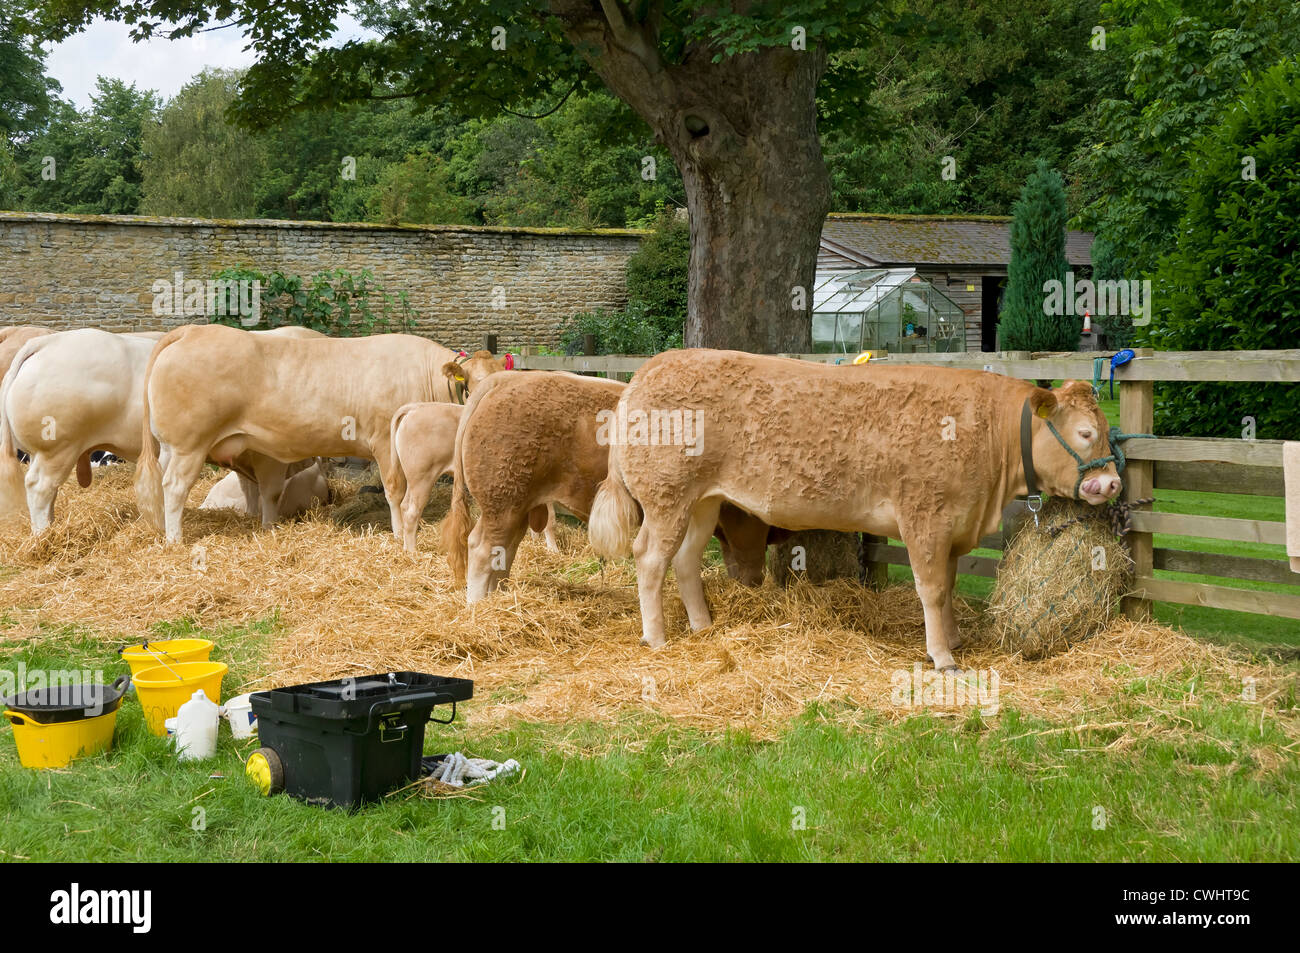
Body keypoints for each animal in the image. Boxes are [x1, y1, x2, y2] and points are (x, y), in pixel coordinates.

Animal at [135, 325, 505, 543]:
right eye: (472, 386)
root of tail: (191, 330)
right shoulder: (386, 442)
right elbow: (395, 492)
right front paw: (400, 535)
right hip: (189, 445)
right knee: (175, 488)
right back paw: (175, 539)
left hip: (170, 446)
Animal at [442, 370, 785, 601]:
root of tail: (502, 379)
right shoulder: (744, 521)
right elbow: (747, 557)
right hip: (501, 500)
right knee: (480, 548)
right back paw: (479, 606)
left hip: (517, 505)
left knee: (504, 551)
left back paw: (498, 598)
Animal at [587, 350, 1123, 670]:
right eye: (1085, 433)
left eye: (1106, 431)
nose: (1114, 482)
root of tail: (649, 370)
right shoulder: (924, 516)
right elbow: (931, 589)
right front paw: (941, 657)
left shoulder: (954, 524)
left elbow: (949, 586)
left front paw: (954, 640)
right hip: (666, 496)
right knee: (649, 559)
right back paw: (657, 638)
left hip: (703, 501)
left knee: (685, 559)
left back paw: (703, 627)